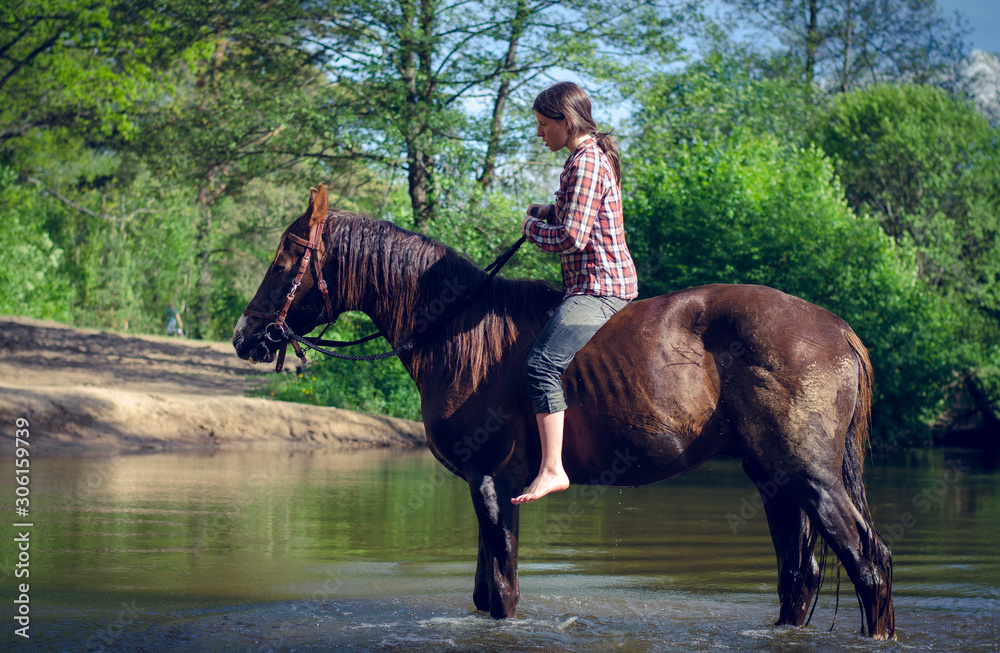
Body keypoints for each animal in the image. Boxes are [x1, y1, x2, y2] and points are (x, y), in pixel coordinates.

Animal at [233, 185, 895, 640]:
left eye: (285, 260)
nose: (245, 336)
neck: (457, 331)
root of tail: (837, 329)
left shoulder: (493, 482)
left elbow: (501, 593)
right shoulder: (483, 487)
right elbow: (485, 594)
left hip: (810, 476)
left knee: (869, 564)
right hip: (775, 480)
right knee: (800, 577)